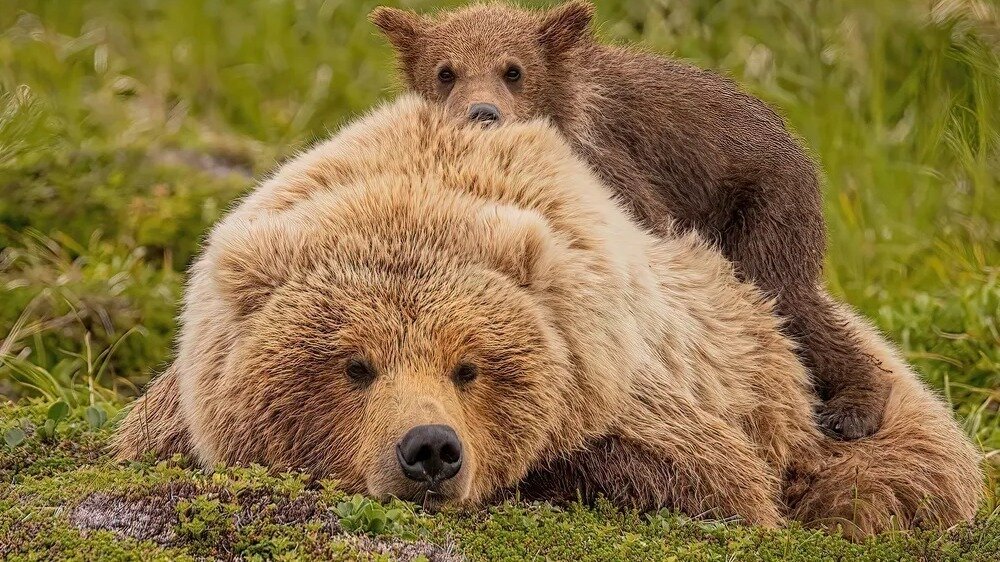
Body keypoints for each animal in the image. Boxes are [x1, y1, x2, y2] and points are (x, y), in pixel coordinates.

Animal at [113, 95, 983, 537]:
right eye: (354, 365)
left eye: (468, 366)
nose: (430, 451)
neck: (415, 186)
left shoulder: (639, 383)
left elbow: (704, 480)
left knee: (892, 473)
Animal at [369, 1, 890, 440]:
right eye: (446, 72)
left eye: (513, 70)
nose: (483, 112)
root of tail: (792, 138)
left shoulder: (613, 165)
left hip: (763, 205)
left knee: (786, 297)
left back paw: (853, 407)